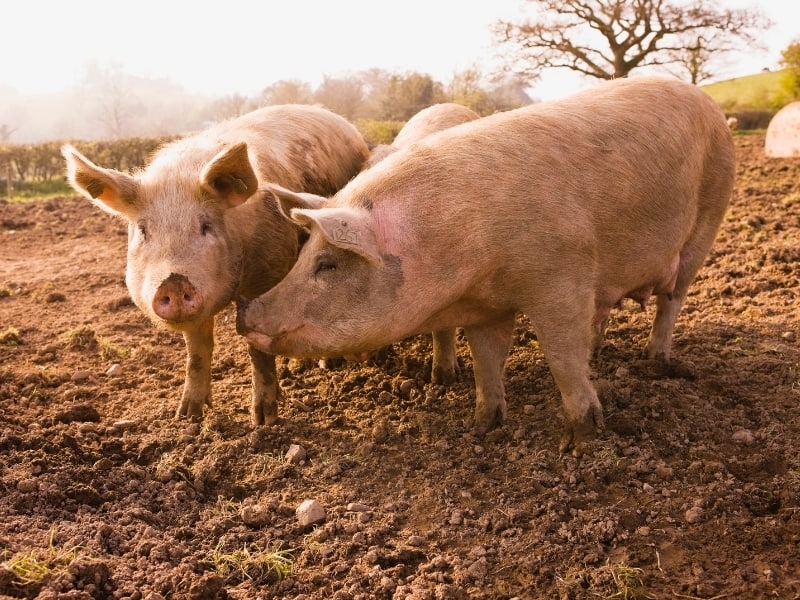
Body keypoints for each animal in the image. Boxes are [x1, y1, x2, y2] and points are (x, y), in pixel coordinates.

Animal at [62, 104, 370, 426]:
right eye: (144, 230)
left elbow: (257, 351)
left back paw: (327, 364)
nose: (174, 282)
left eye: (206, 226)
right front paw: (187, 417)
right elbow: (197, 352)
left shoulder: (268, 274)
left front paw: (263, 420)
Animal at [236, 76, 735, 455]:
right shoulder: (485, 306)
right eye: (303, 254)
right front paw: (482, 427)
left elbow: (562, 358)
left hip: (709, 216)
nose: (246, 312)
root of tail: (704, 97)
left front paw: (579, 444)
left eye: (327, 264)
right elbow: (486, 361)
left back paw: (656, 362)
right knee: (605, 314)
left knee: (672, 299)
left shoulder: (561, 276)